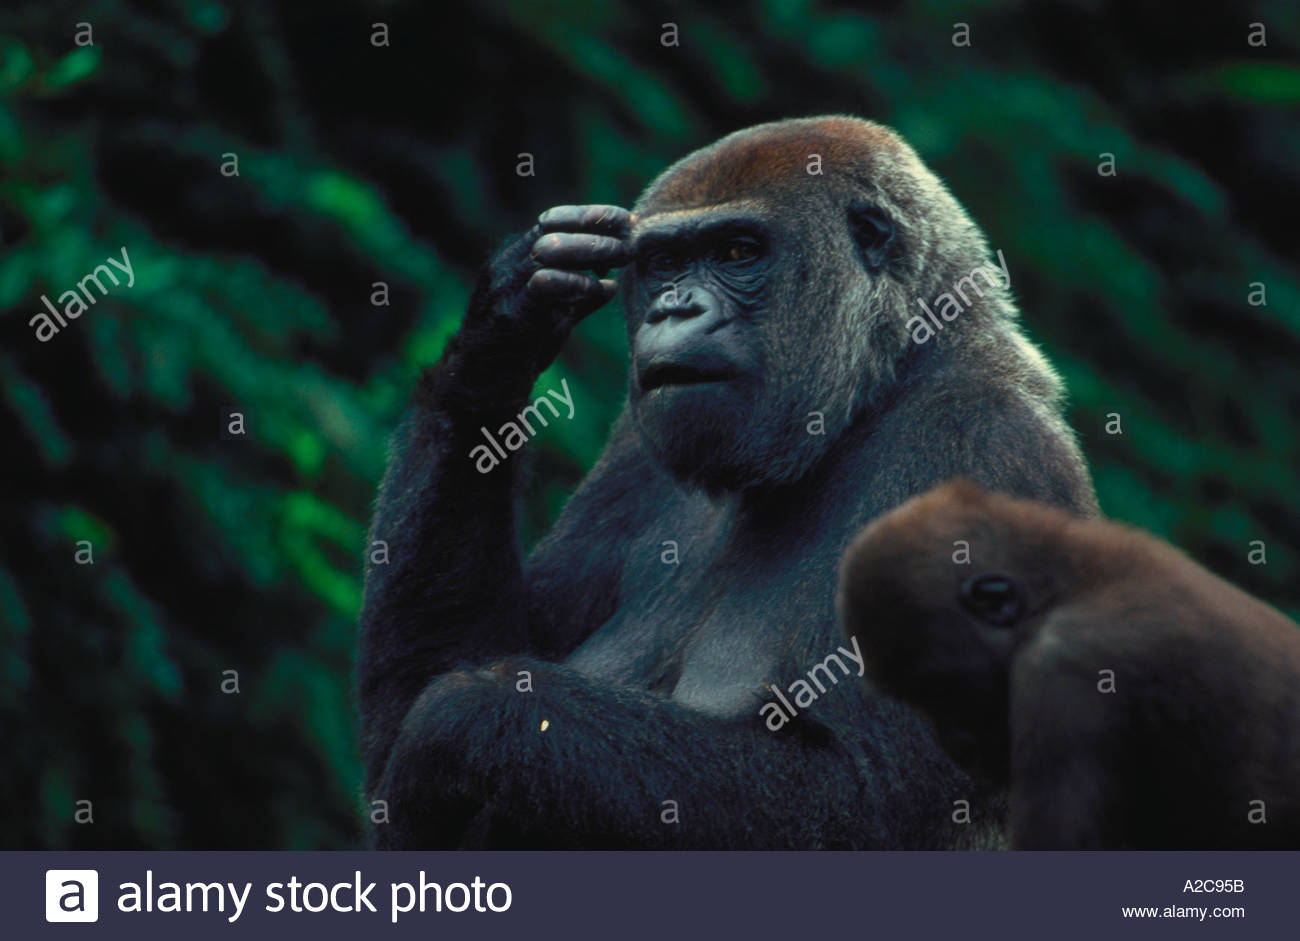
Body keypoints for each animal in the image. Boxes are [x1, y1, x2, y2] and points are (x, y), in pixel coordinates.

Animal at [357, 115, 1097, 848]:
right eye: (664, 264)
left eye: (739, 251)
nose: (674, 311)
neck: (882, 385)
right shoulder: (632, 452)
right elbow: (420, 700)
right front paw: (504, 325)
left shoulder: (979, 446)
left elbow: (864, 794)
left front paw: (464, 719)